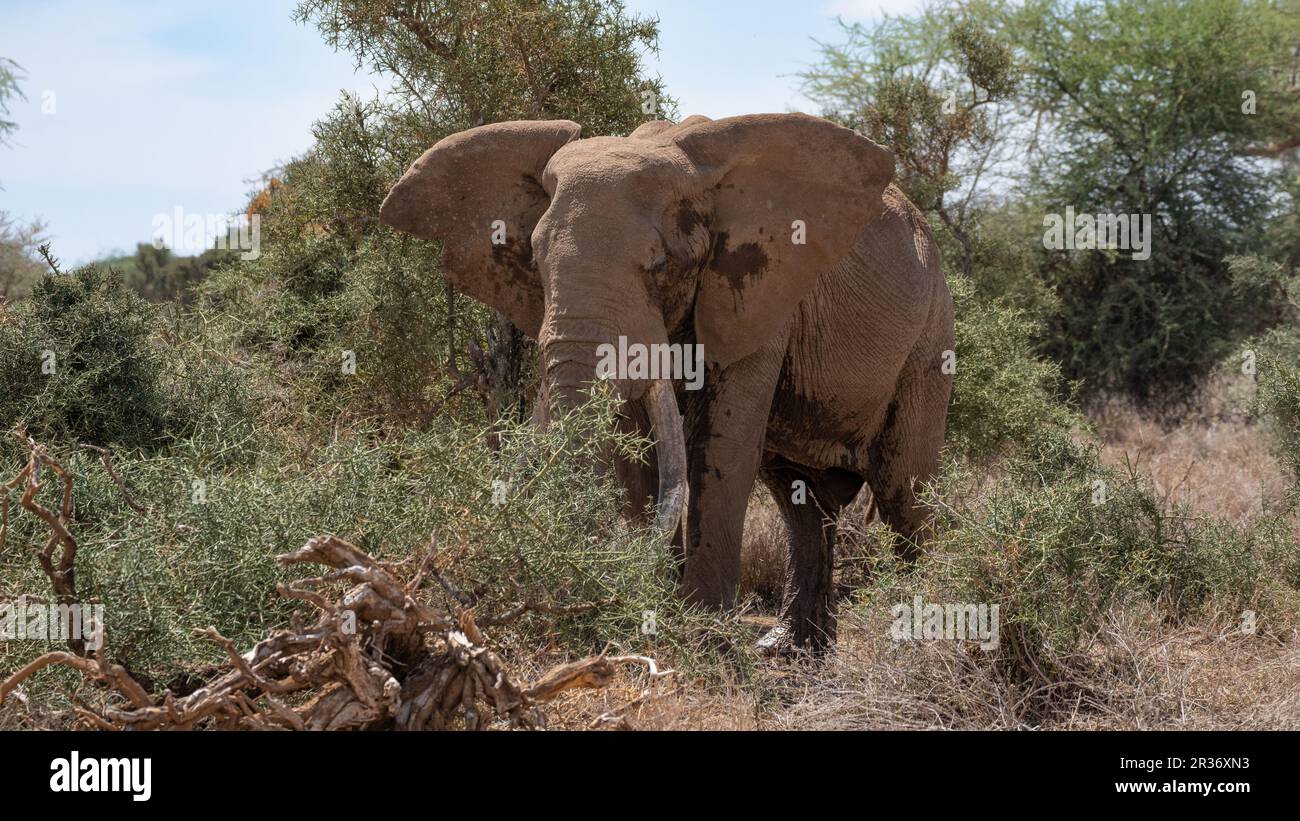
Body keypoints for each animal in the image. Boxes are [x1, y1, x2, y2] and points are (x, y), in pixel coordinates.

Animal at [379, 112, 954, 654]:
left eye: (659, 266)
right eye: (536, 264)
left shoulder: (755, 292)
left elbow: (717, 448)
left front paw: (703, 643)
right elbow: (637, 450)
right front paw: (643, 621)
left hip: (928, 341)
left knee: (905, 493)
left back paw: (915, 638)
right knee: (803, 502)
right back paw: (790, 652)